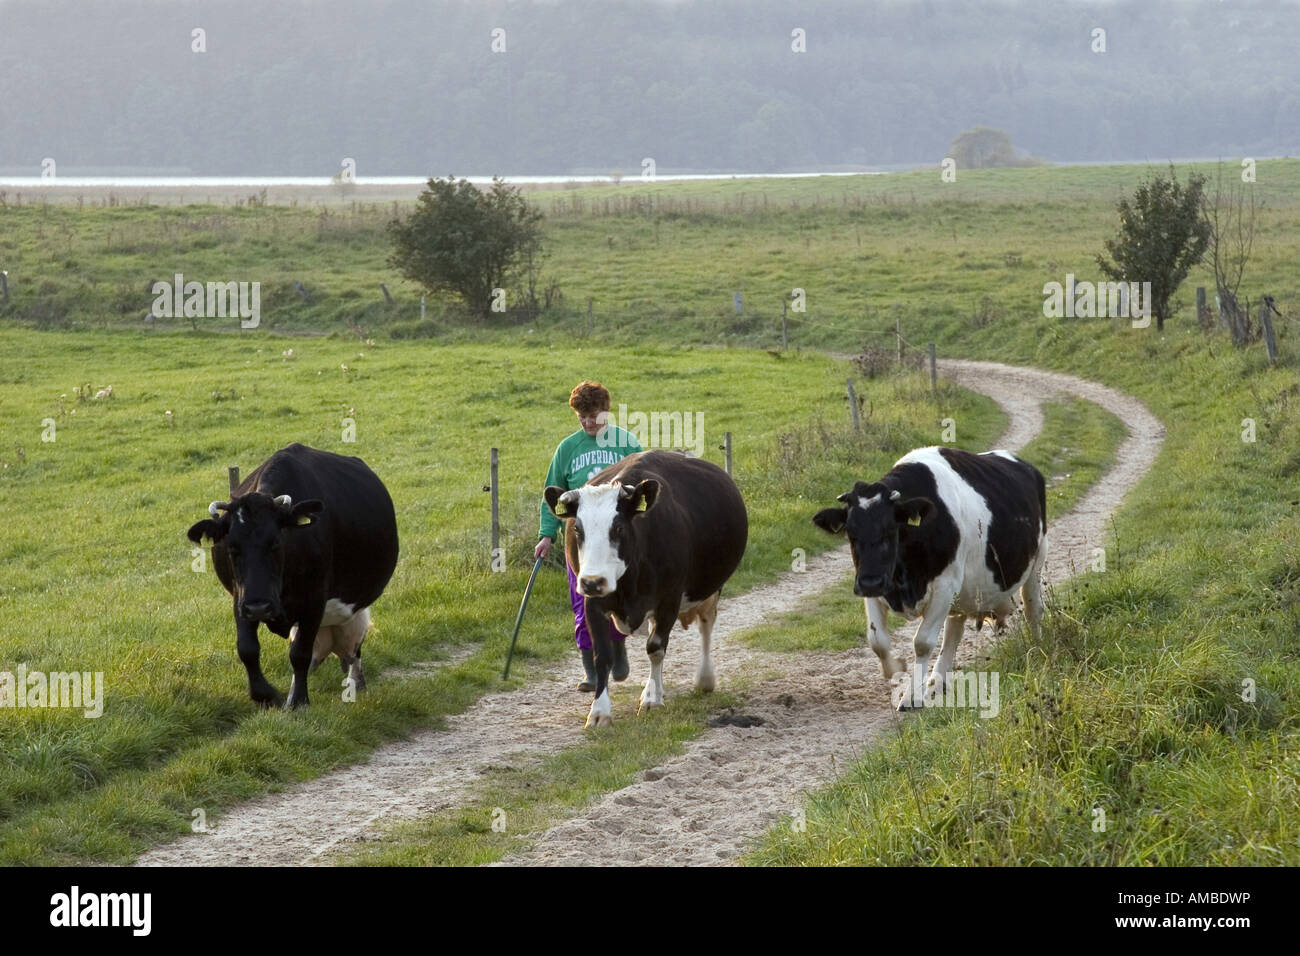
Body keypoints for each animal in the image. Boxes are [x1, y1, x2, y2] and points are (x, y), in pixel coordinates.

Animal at [186, 443, 399, 709]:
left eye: (276, 543)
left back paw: (355, 682)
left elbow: (300, 654)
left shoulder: (314, 600)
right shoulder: (241, 597)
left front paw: (298, 701)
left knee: (352, 651)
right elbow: (247, 649)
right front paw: (267, 695)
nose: (259, 607)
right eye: (232, 548)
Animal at [544, 450, 748, 727]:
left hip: (710, 589)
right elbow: (602, 657)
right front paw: (599, 711)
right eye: (577, 528)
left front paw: (652, 699)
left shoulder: (669, 599)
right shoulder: (592, 603)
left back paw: (704, 679)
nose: (592, 581)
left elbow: (656, 647)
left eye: (618, 527)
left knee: (706, 625)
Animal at [812, 446, 1046, 710]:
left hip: (1036, 560)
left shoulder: (944, 585)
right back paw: (937, 681)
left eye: (891, 529)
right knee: (954, 629)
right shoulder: (873, 587)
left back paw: (1036, 650)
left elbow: (922, 642)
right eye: (851, 533)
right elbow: (877, 640)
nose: (870, 582)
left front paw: (912, 695)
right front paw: (896, 668)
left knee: (1033, 609)